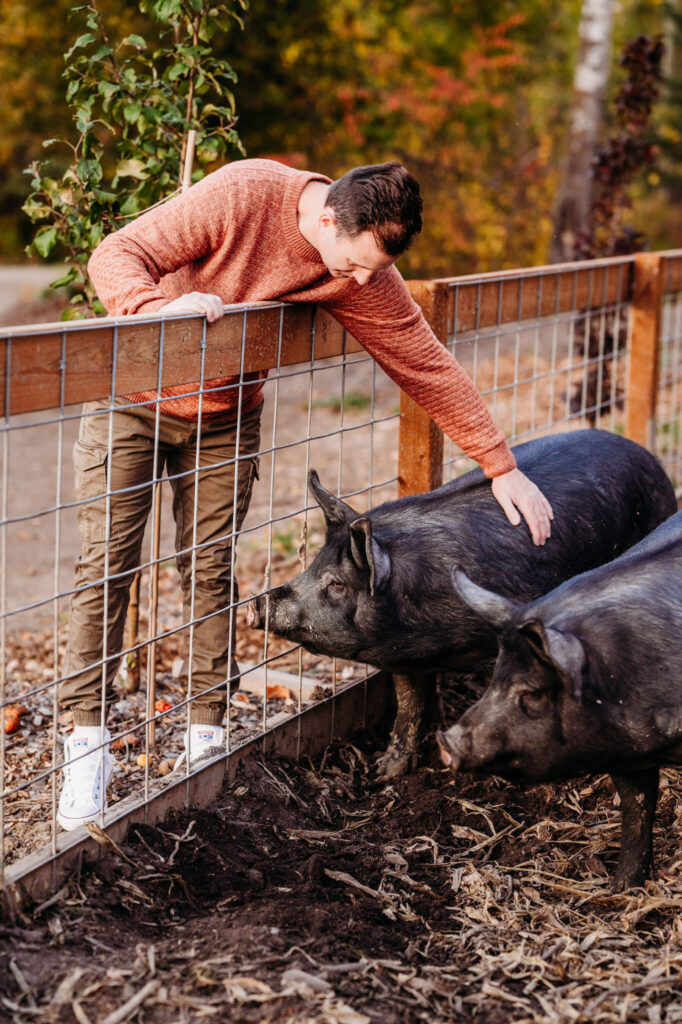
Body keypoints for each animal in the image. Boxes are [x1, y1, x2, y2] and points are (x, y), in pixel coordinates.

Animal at [247, 430, 677, 778]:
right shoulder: (402, 660)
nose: (256, 603)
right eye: (311, 565)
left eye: (336, 583)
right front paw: (384, 774)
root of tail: (646, 454)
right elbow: (408, 708)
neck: (422, 634)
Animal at [438, 510, 682, 891]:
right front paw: (620, 890)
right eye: (495, 676)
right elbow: (637, 812)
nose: (445, 742)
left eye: (535, 692)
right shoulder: (626, 754)